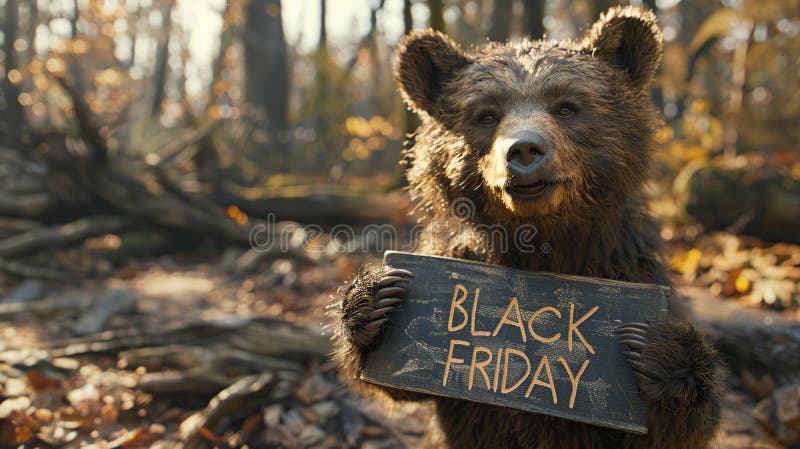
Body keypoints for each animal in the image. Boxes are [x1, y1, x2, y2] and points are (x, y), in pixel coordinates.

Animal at [328, 6, 723, 449]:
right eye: (486, 114)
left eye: (566, 106)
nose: (525, 150)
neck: (543, 239)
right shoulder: (458, 254)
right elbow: (401, 384)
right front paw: (374, 297)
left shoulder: (627, 262)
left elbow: (677, 426)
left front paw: (659, 351)